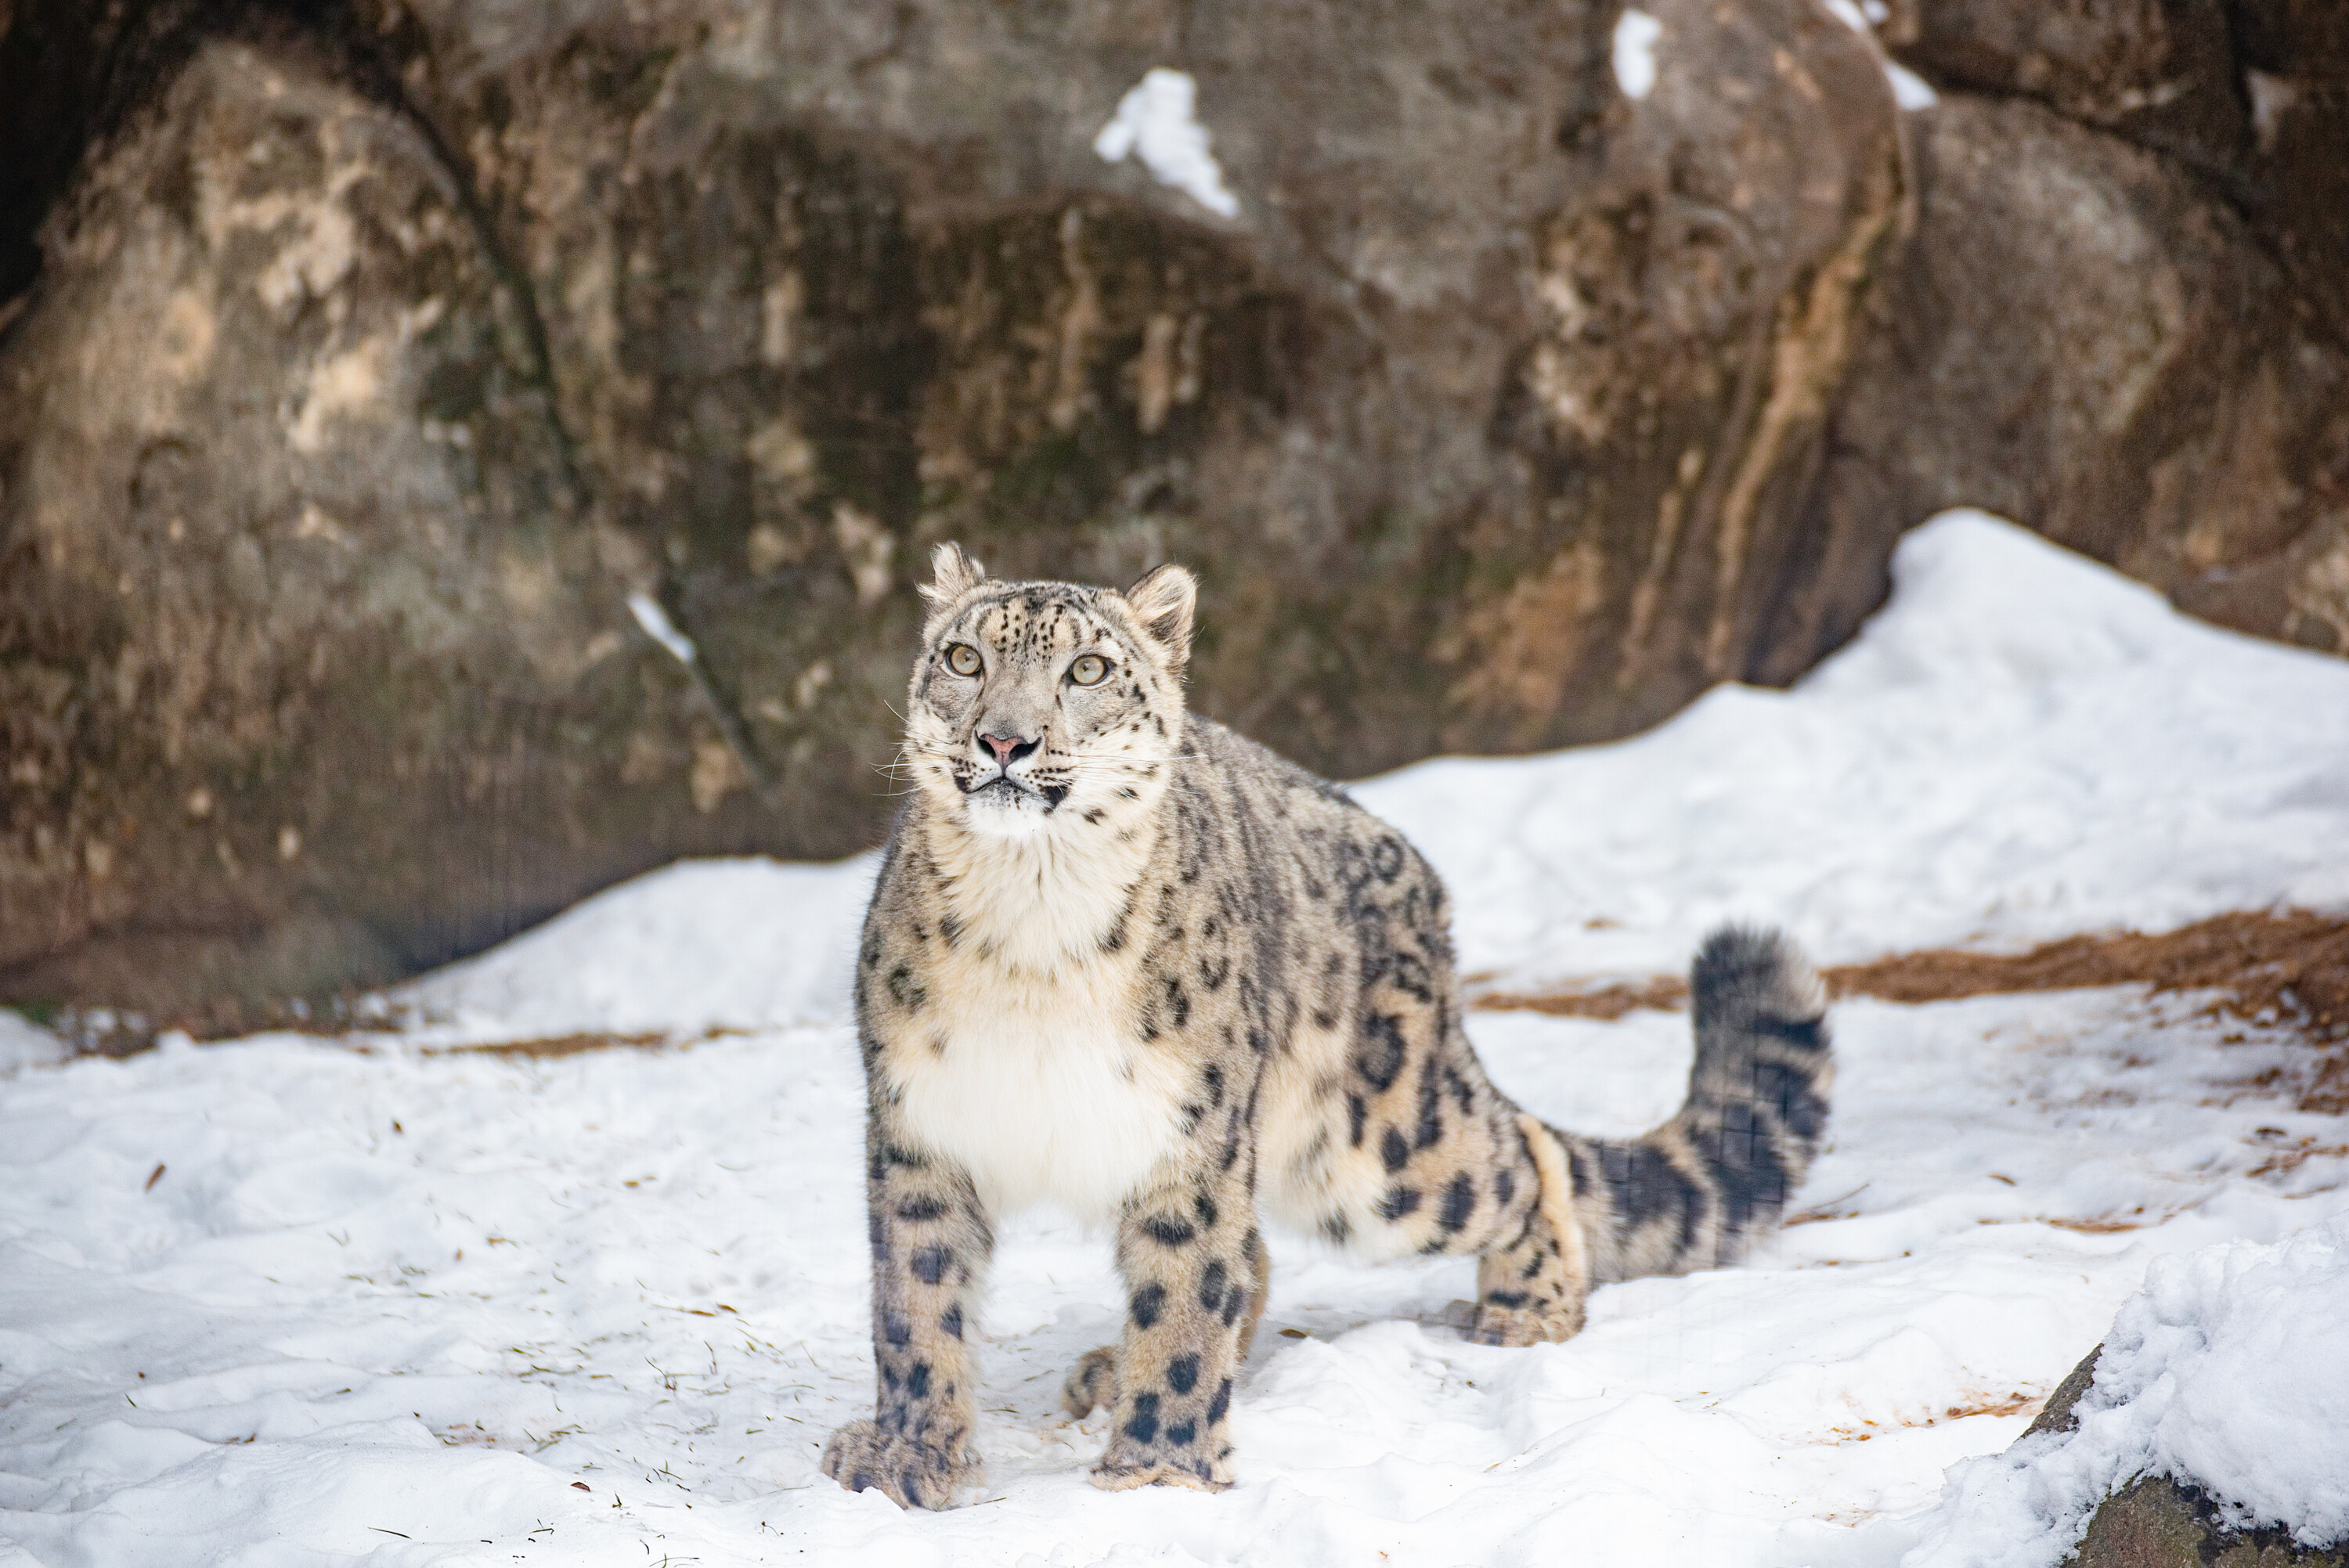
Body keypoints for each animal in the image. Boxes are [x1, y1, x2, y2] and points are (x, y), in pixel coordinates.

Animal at [819, 544, 1834, 1508]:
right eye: (965, 657)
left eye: (1088, 668)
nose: (1003, 737)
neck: (1030, 929)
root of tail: (1420, 881)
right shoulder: (921, 1126)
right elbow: (915, 1298)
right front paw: (906, 1453)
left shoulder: (1192, 1135)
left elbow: (1185, 1295)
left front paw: (1156, 1470)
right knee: (1263, 1247)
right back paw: (1108, 1371)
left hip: (1378, 1148)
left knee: (1518, 1150)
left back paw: (1528, 1309)